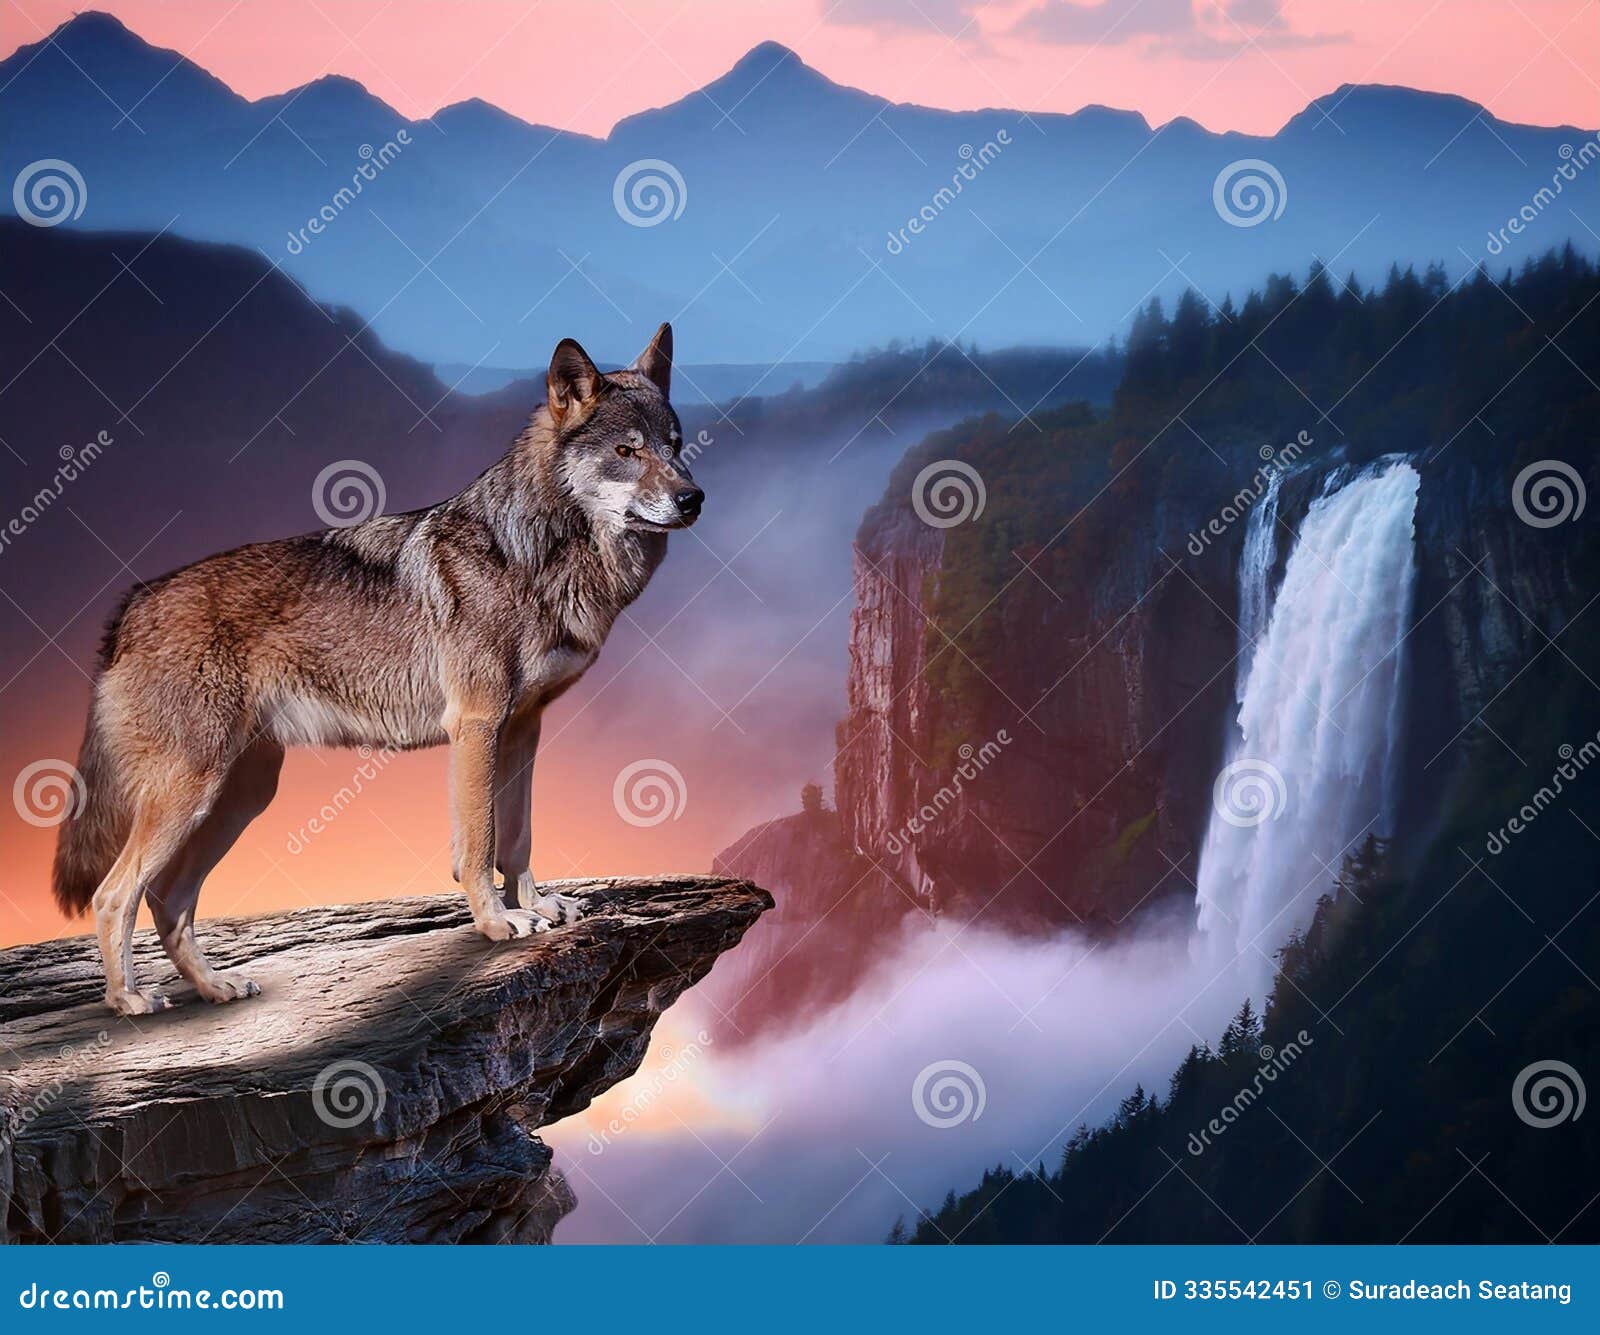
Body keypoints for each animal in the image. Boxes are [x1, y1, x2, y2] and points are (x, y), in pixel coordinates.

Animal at [52, 325, 701, 1016]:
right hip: (192, 792)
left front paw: (537, 906)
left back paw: (214, 987)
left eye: (676, 446)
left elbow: (519, 837)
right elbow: (479, 843)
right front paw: (498, 923)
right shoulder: (476, 725)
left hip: (241, 795)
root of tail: (132, 603)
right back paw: (130, 1001)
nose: (693, 498)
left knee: (167, 899)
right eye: (627, 450)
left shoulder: (522, 728)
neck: (536, 551)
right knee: (114, 894)